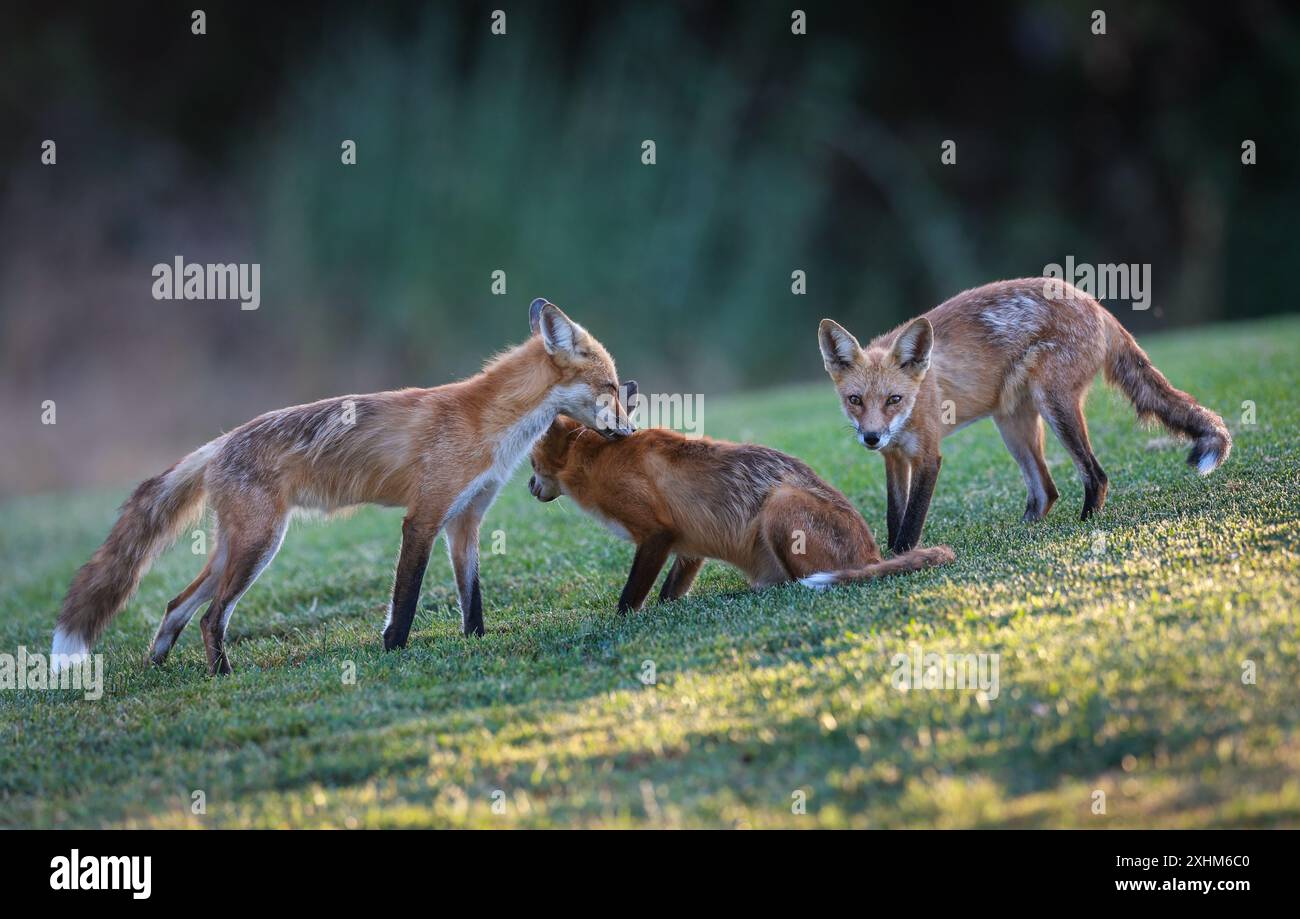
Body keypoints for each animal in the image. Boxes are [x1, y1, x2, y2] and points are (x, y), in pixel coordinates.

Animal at [51, 299, 635, 676]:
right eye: (609, 387)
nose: (630, 431)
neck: (489, 423)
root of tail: (219, 443)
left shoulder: (465, 521)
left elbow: (472, 599)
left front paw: (476, 642)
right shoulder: (424, 516)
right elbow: (406, 598)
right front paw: (393, 650)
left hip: (234, 549)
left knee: (177, 604)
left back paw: (159, 664)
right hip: (259, 546)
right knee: (212, 616)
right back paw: (223, 675)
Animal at [526, 383, 955, 607]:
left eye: (530, 461)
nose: (530, 487)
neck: (598, 460)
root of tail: (873, 556)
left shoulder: (657, 534)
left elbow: (629, 600)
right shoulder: (690, 544)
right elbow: (669, 594)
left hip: (780, 506)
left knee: (804, 581)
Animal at [817, 277, 1232, 553]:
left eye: (894, 399)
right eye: (855, 400)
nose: (871, 437)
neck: (914, 403)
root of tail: (1094, 302)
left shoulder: (927, 456)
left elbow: (911, 521)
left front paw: (899, 559)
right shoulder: (893, 458)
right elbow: (894, 515)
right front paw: (889, 554)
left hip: (1055, 407)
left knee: (1095, 475)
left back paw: (1084, 524)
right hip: (1013, 426)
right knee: (1046, 491)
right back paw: (1025, 530)